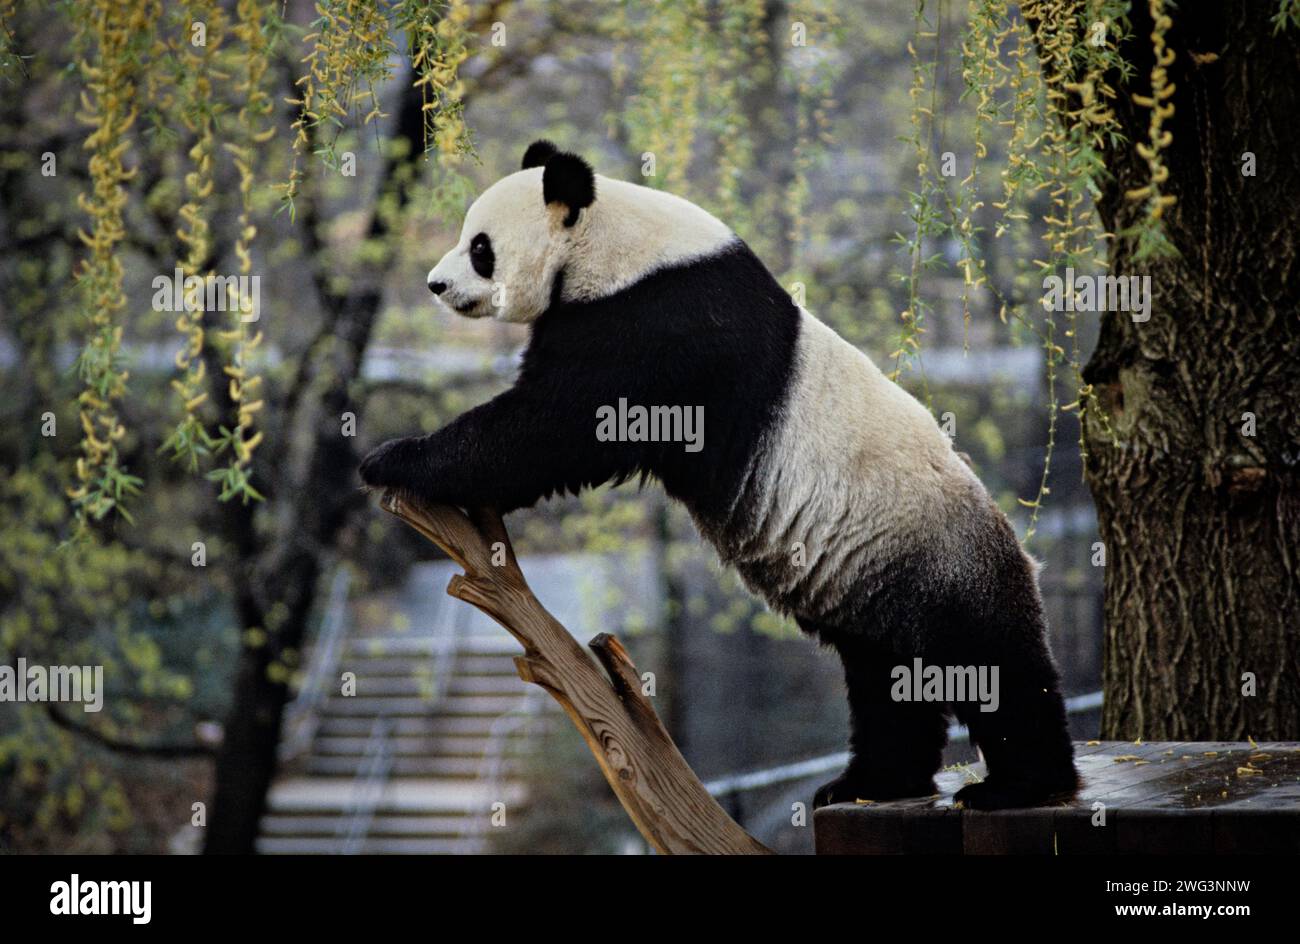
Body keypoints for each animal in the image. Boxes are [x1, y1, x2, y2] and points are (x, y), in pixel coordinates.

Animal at [361, 139, 1078, 811]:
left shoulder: (658, 322)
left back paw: (1021, 786)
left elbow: (554, 426)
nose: (436, 285)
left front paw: (393, 457)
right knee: (887, 682)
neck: (613, 242)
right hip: (878, 584)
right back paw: (869, 783)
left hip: (940, 561)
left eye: (480, 247)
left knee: (987, 663)